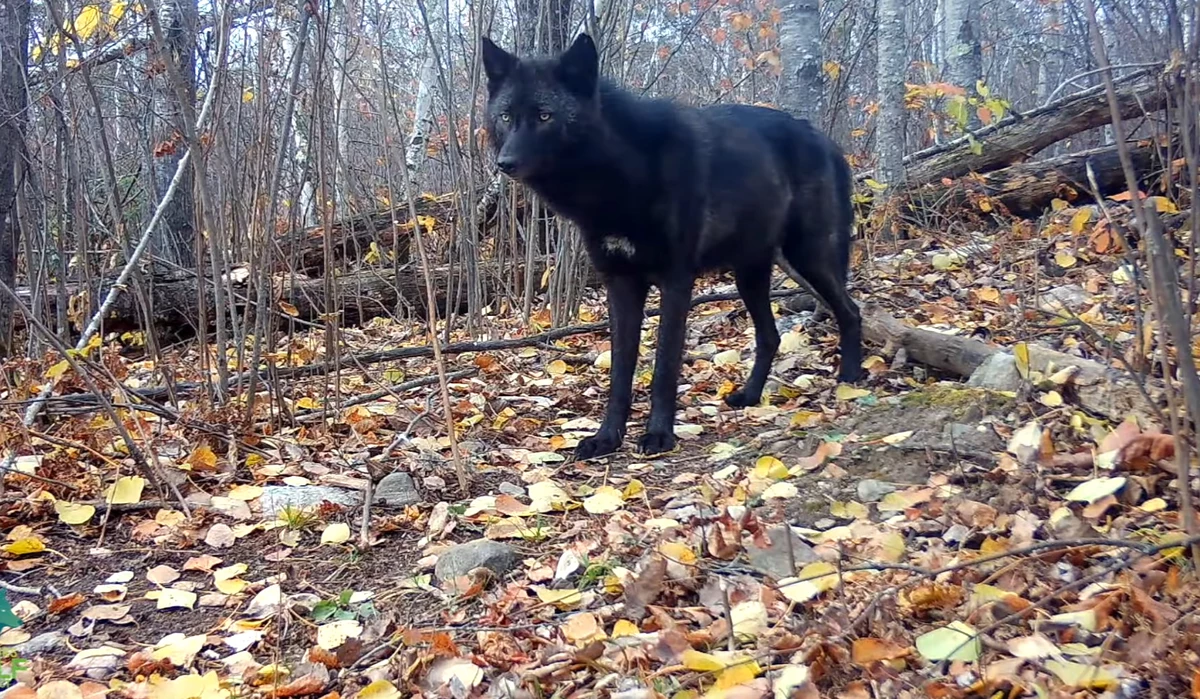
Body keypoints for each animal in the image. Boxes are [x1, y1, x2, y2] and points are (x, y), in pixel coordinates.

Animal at [480, 33, 863, 460]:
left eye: (545, 116)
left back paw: (848, 381)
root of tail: (827, 141)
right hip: (750, 275)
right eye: (506, 116)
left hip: (809, 259)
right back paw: (749, 396)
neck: (622, 174)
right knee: (771, 336)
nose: (505, 163)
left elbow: (664, 366)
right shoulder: (621, 284)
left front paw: (659, 435)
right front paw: (606, 438)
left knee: (851, 311)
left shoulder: (676, 282)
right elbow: (620, 371)